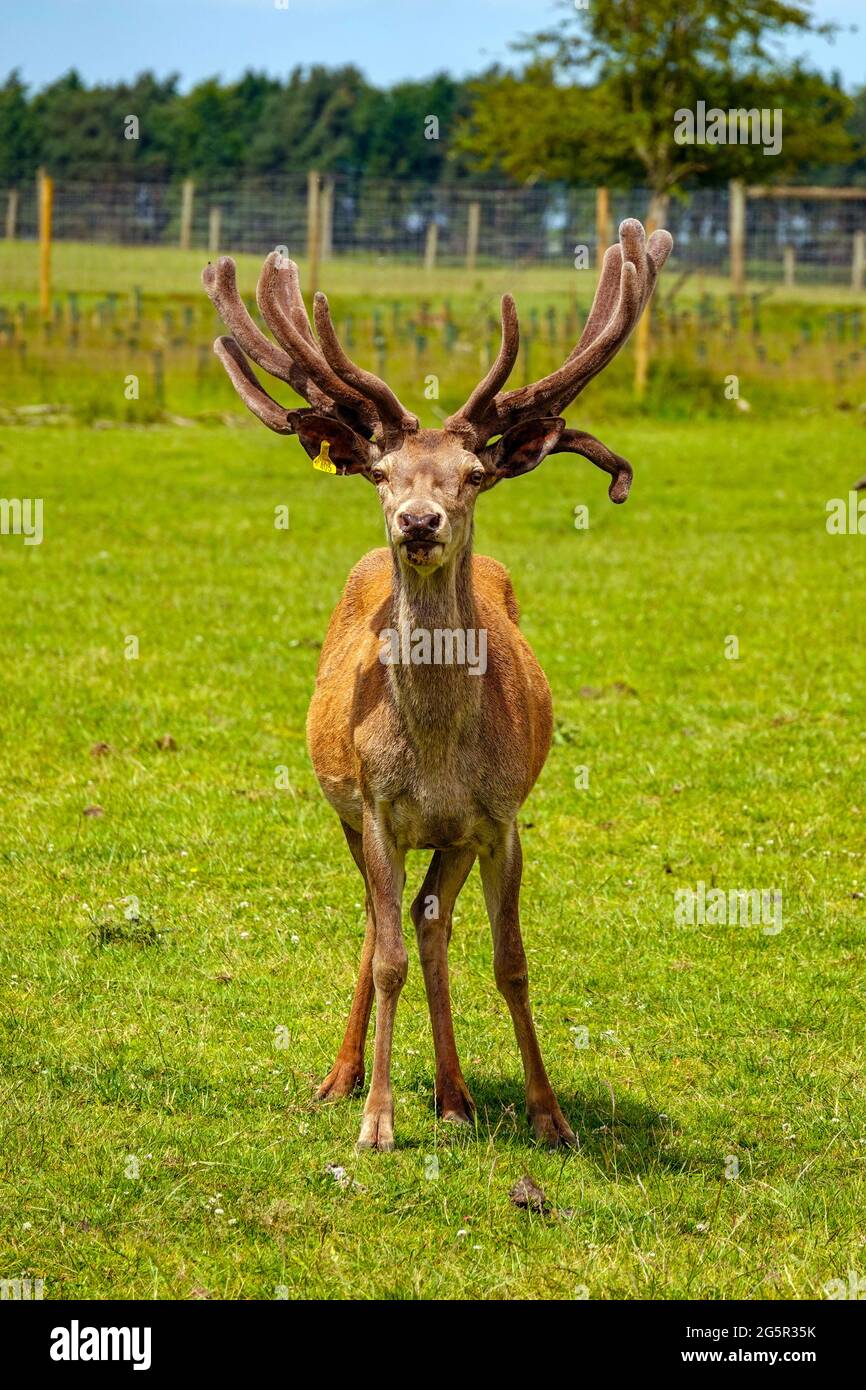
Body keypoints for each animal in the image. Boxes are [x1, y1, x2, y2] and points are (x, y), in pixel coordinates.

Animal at [202, 217, 672, 1150]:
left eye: (474, 475)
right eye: (383, 473)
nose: (419, 522)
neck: (437, 753)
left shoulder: (500, 818)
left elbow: (511, 961)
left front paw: (550, 1115)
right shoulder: (379, 807)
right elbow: (384, 954)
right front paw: (377, 1120)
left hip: (448, 841)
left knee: (430, 920)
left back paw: (455, 1094)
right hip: (350, 812)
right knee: (379, 920)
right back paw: (341, 1078)